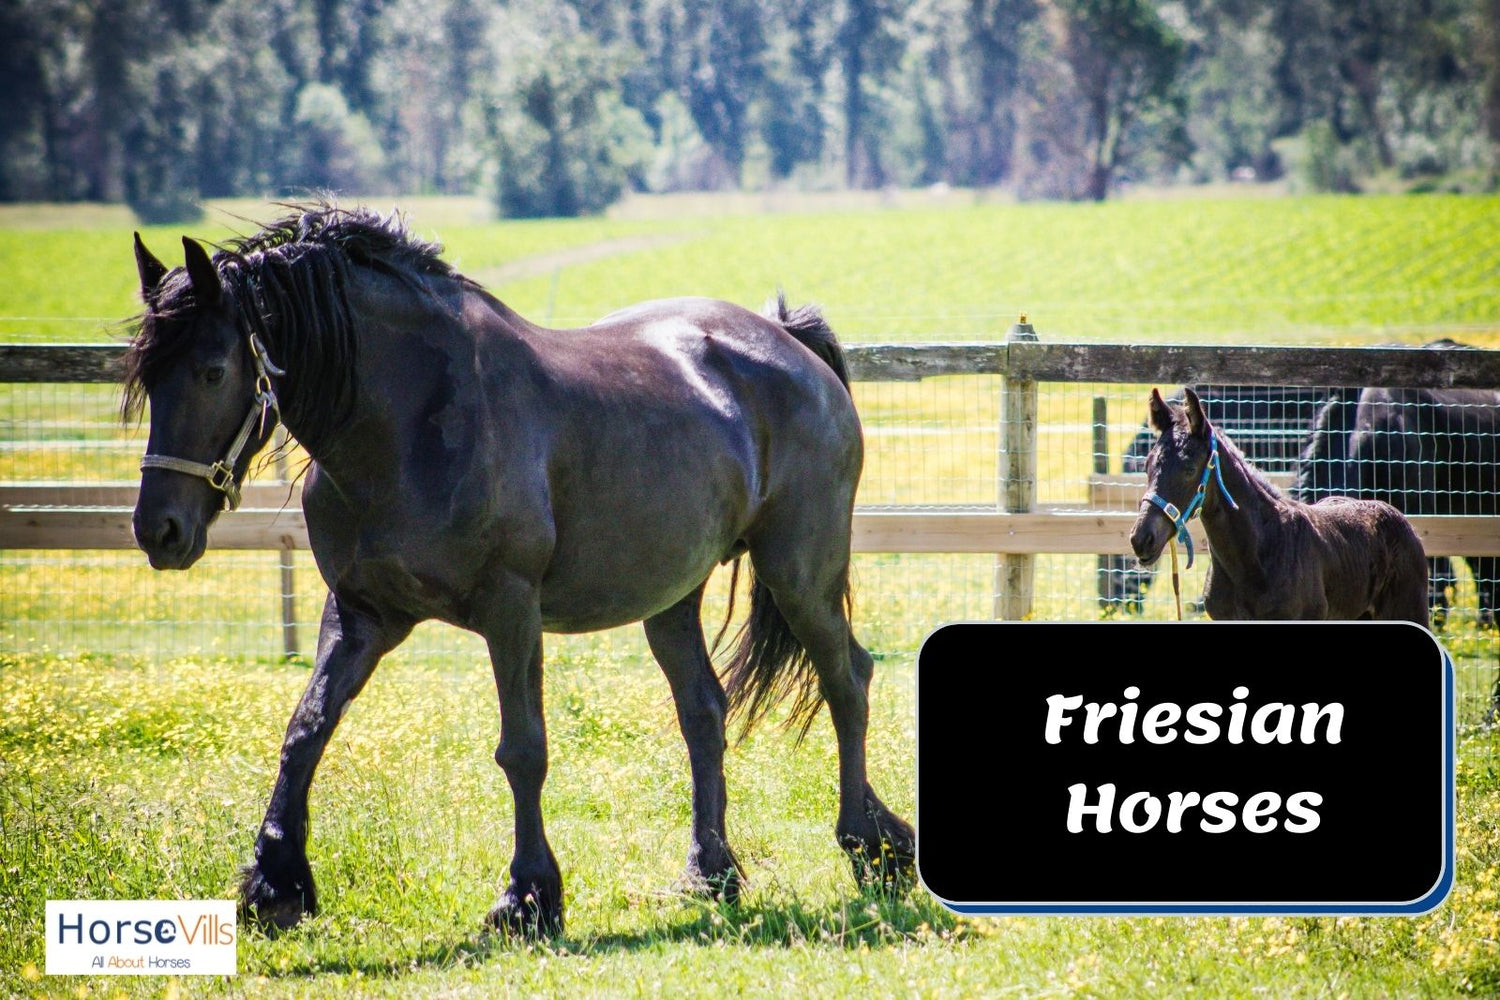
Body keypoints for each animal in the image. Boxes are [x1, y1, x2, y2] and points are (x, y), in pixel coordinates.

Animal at [122, 204, 914, 937]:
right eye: (147, 379)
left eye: (213, 371)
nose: (159, 530)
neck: (412, 421)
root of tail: (787, 340)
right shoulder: (360, 612)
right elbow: (306, 728)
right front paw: (274, 883)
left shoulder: (510, 609)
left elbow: (523, 750)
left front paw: (528, 898)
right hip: (672, 596)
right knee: (704, 712)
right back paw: (711, 873)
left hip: (799, 571)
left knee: (848, 680)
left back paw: (872, 848)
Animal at [1129, 387, 1429, 624]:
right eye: (1147, 466)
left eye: (1190, 468)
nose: (1141, 539)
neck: (1254, 557)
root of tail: (1395, 514)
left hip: (1408, 609)